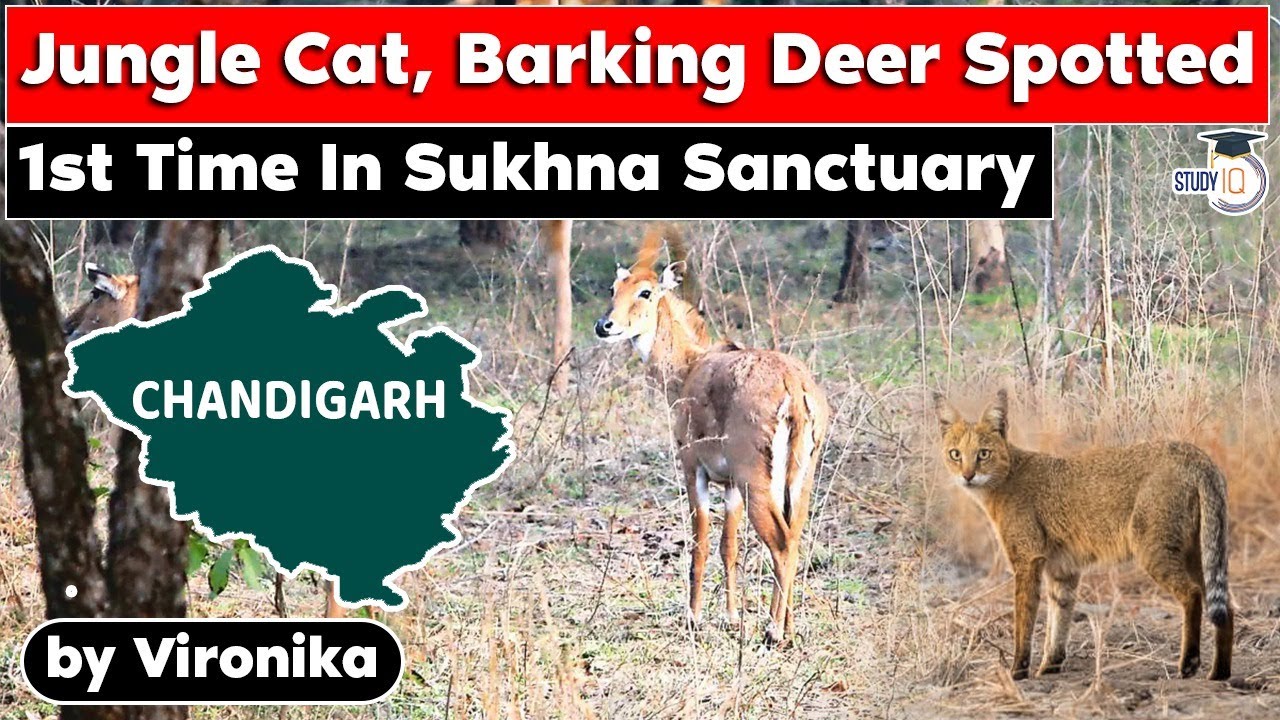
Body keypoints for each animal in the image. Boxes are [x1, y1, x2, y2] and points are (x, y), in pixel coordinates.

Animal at [595, 226, 829, 645]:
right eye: (613, 288)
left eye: (646, 292)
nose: (604, 325)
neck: (687, 366)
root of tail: (795, 388)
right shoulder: (731, 484)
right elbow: (729, 547)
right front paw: (732, 616)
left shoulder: (694, 468)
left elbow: (700, 543)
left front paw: (694, 616)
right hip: (798, 480)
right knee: (794, 536)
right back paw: (786, 626)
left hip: (758, 480)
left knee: (781, 542)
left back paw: (773, 631)